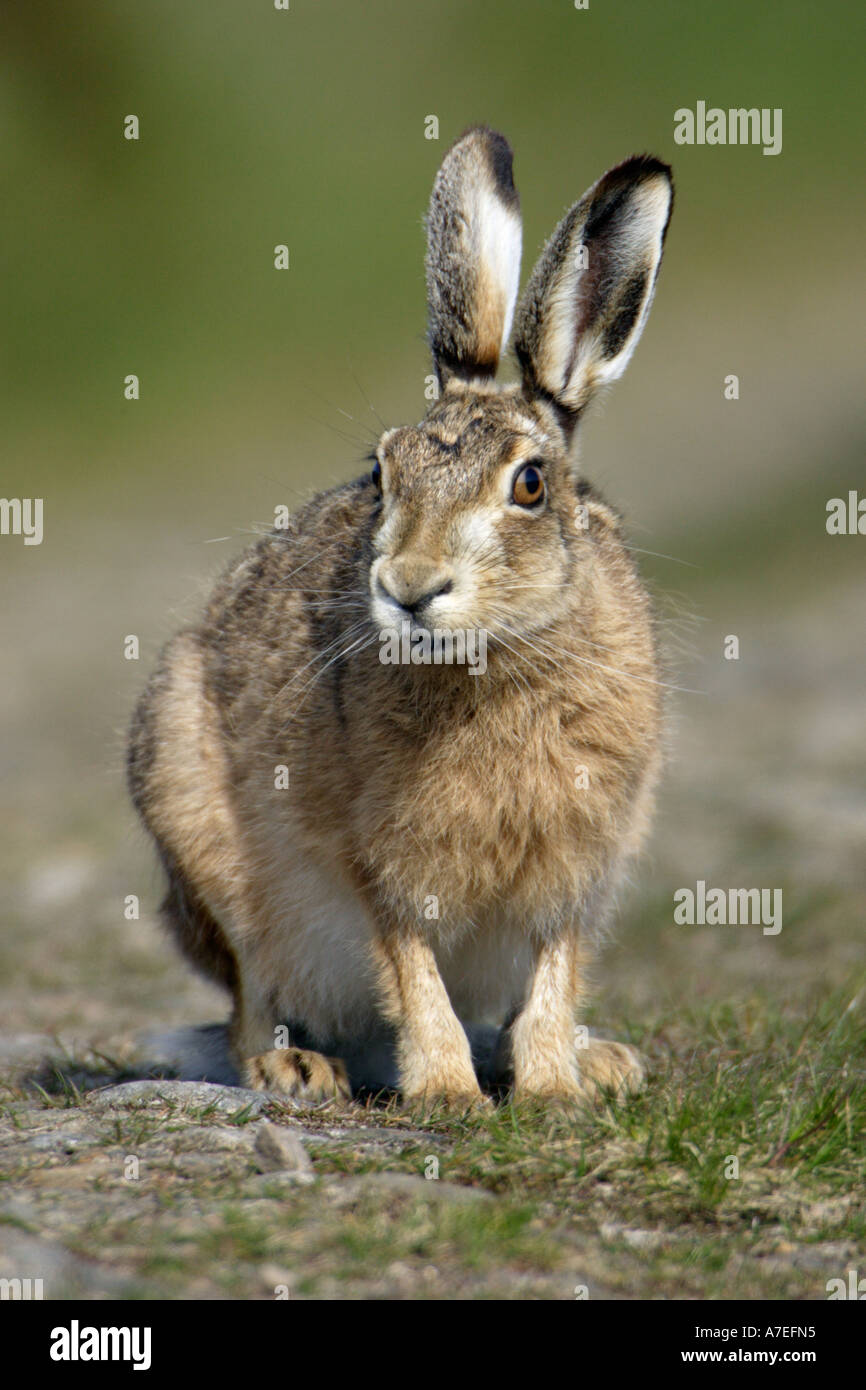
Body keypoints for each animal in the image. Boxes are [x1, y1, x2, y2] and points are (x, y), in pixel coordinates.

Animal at [128, 126, 673, 1109]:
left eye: (529, 485)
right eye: (381, 474)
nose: (409, 585)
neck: (492, 665)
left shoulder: (580, 867)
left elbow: (553, 972)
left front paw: (552, 1090)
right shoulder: (375, 863)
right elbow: (411, 967)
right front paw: (450, 1091)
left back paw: (599, 1058)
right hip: (206, 848)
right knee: (248, 1000)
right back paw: (296, 1067)